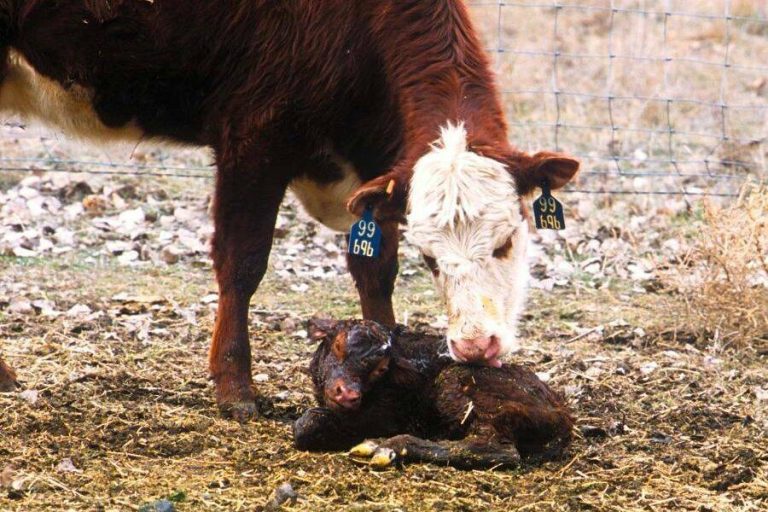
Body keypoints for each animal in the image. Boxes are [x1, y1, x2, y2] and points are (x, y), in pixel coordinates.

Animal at [0, 1, 579, 420]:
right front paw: (235, 388)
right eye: (431, 258)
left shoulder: (377, 174)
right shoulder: (254, 138)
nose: (476, 345)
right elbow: (242, 262)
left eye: (506, 240)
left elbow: (374, 269)